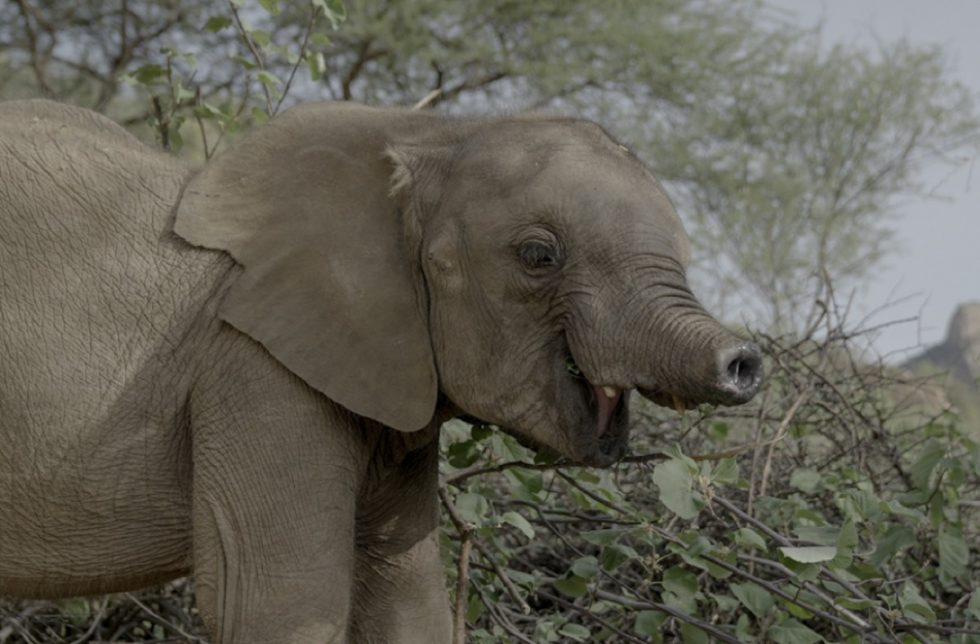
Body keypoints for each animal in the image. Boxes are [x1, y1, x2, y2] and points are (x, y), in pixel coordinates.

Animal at [0, 99, 762, 643]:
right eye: (538, 255)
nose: (746, 361)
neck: (430, 136)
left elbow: (407, 602)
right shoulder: (256, 369)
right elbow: (276, 606)